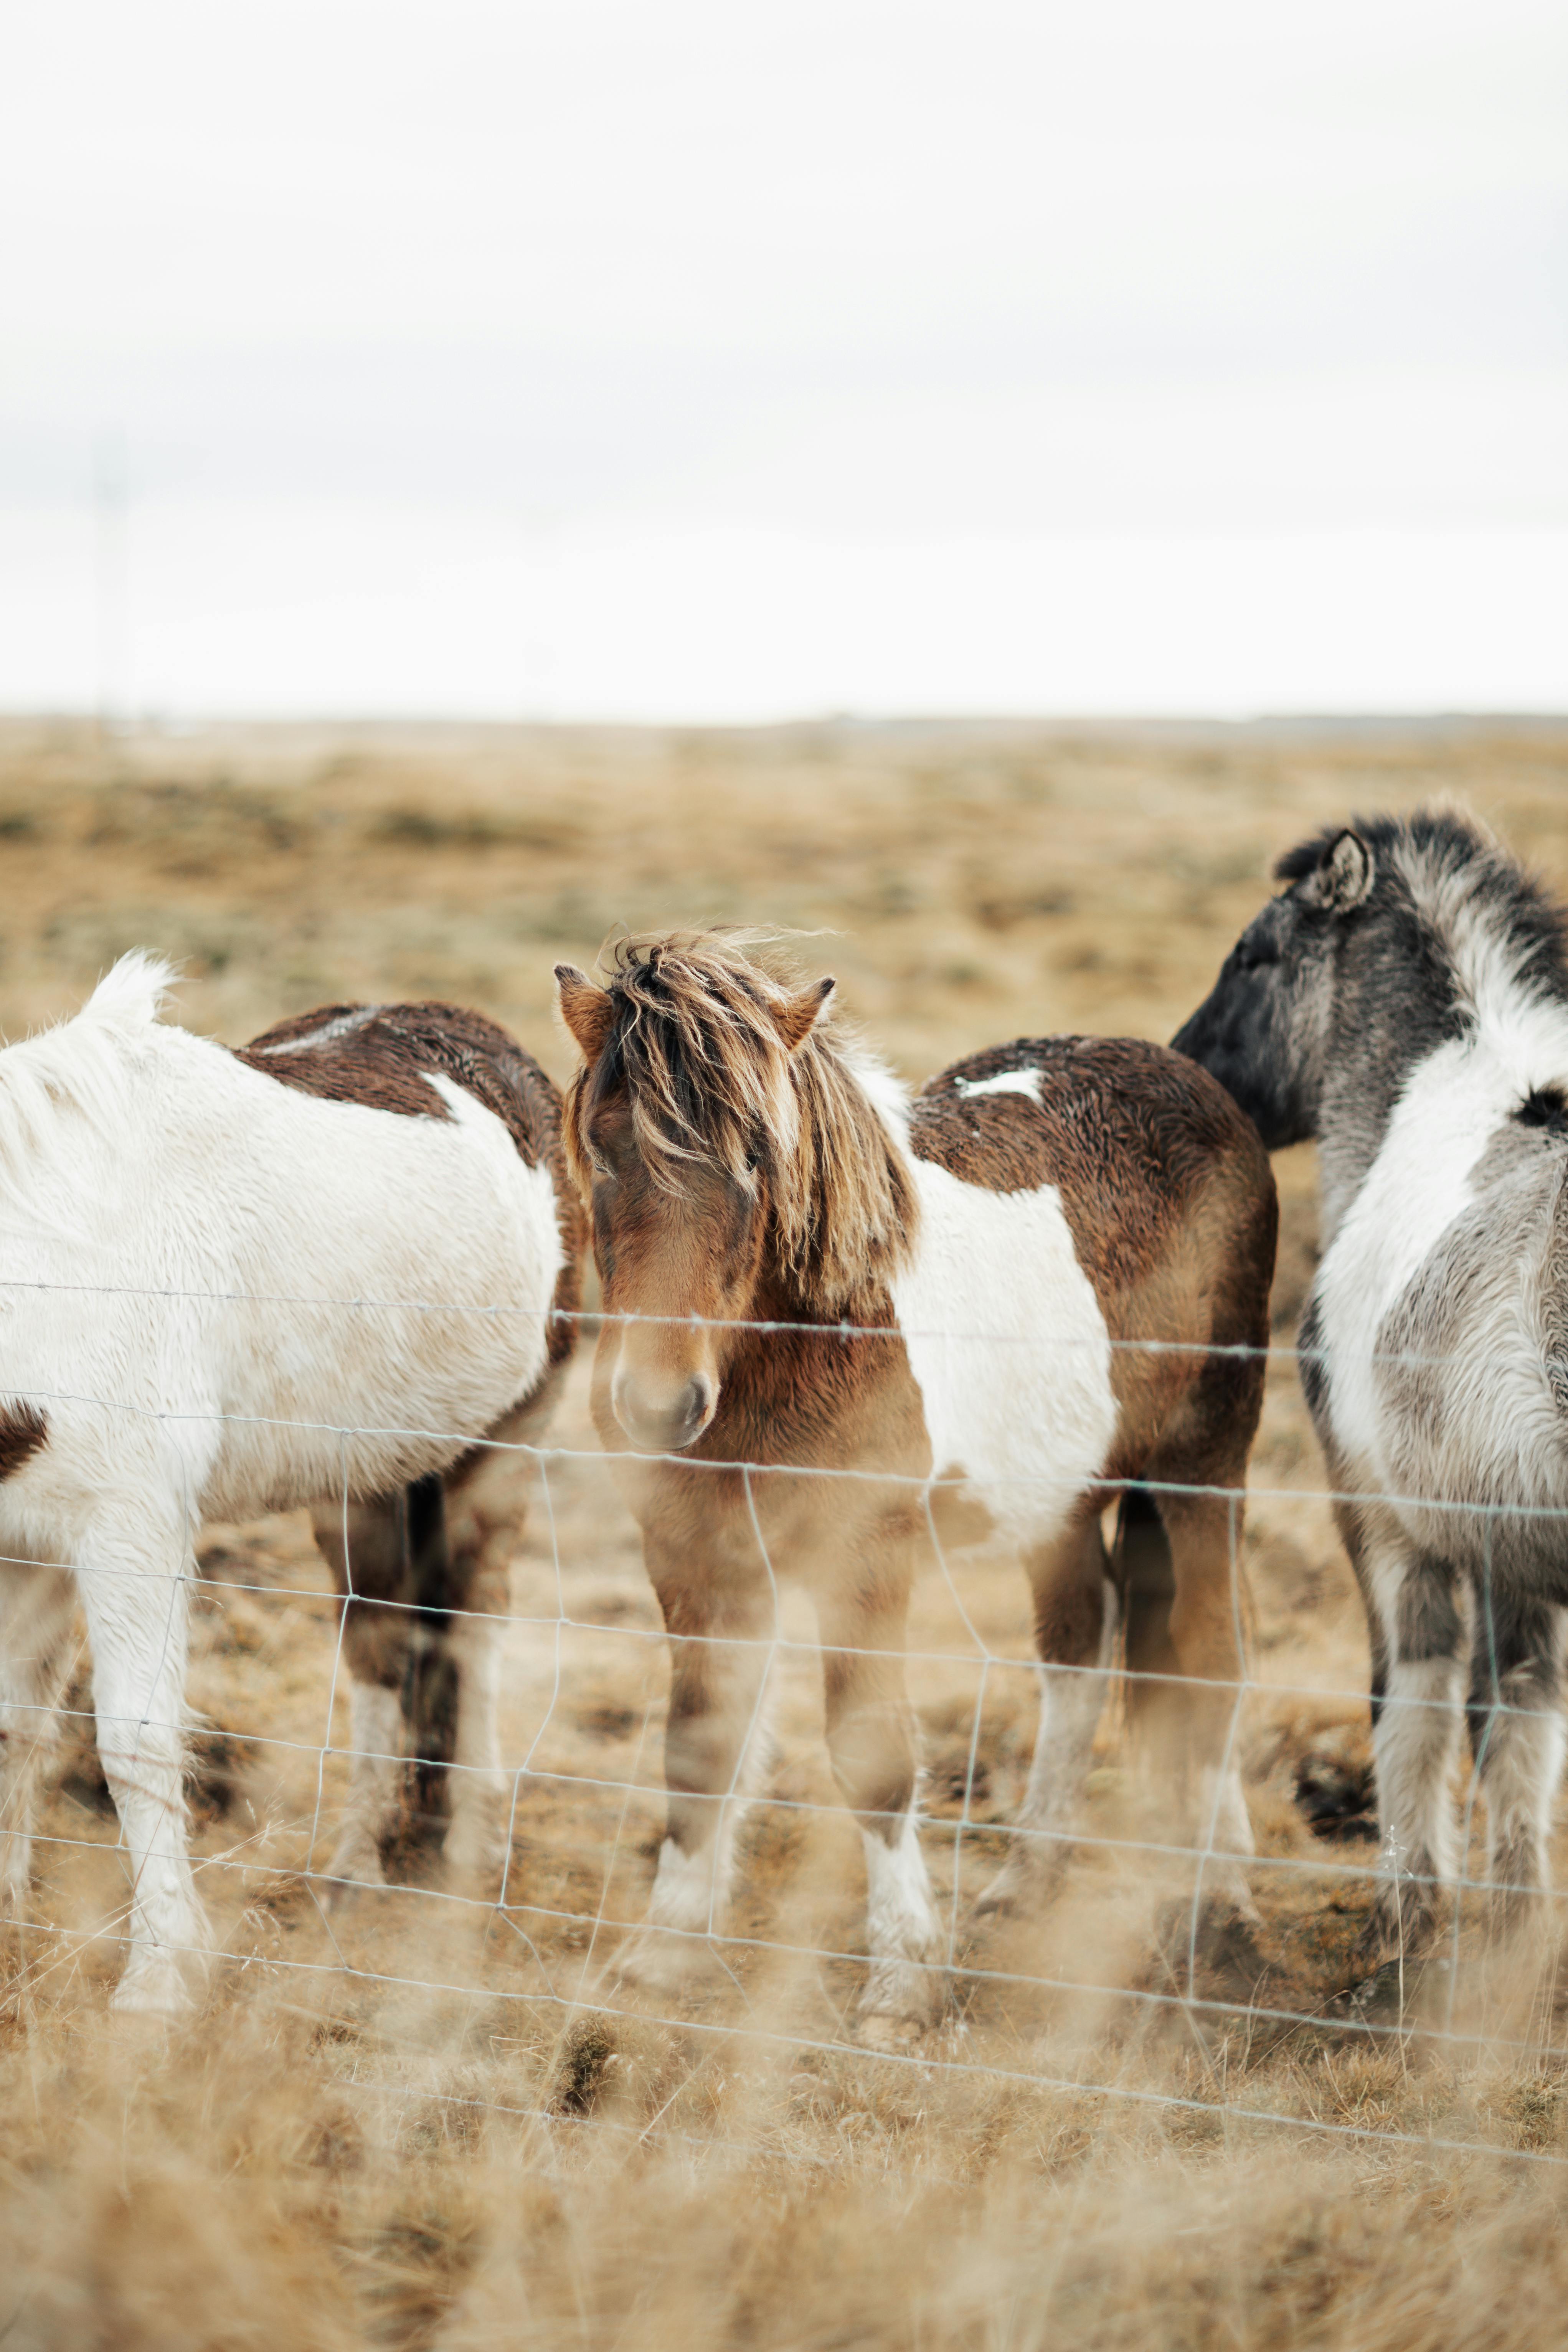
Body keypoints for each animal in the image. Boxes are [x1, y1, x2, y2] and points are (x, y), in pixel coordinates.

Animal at [0, 956, 585, 2013]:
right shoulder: (25, 1538)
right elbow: (14, 1728)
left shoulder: (130, 1530)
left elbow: (134, 1739)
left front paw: (161, 1978)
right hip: (360, 1489)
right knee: (384, 1648)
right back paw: (355, 1871)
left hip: (503, 1454)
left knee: (474, 1638)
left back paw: (470, 1866)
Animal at [554, 934, 1276, 2036]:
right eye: (599, 1149)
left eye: (757, 1157)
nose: (657, 1404)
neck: (806, 1338)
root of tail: (1198, 1084)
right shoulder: (695, 1556)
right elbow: (701, 1745)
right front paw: (664, 1952)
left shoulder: (864, 1560)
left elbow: (873, 1756)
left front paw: (902, 1981)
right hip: (1057, 1498)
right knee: (1083, 1643)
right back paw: (1030, 1877)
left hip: (1205, 1461)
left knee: (1210, 1653)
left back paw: (1220, 1891)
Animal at [1173, 808, 1568, 1958]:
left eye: (1253, 954)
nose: (1185, 1068)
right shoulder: (1514, 1548)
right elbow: (1520, 1719)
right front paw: (1513, 1930)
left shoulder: (1385, 1526)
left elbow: (1412, 1707)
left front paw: (1407, 1920)